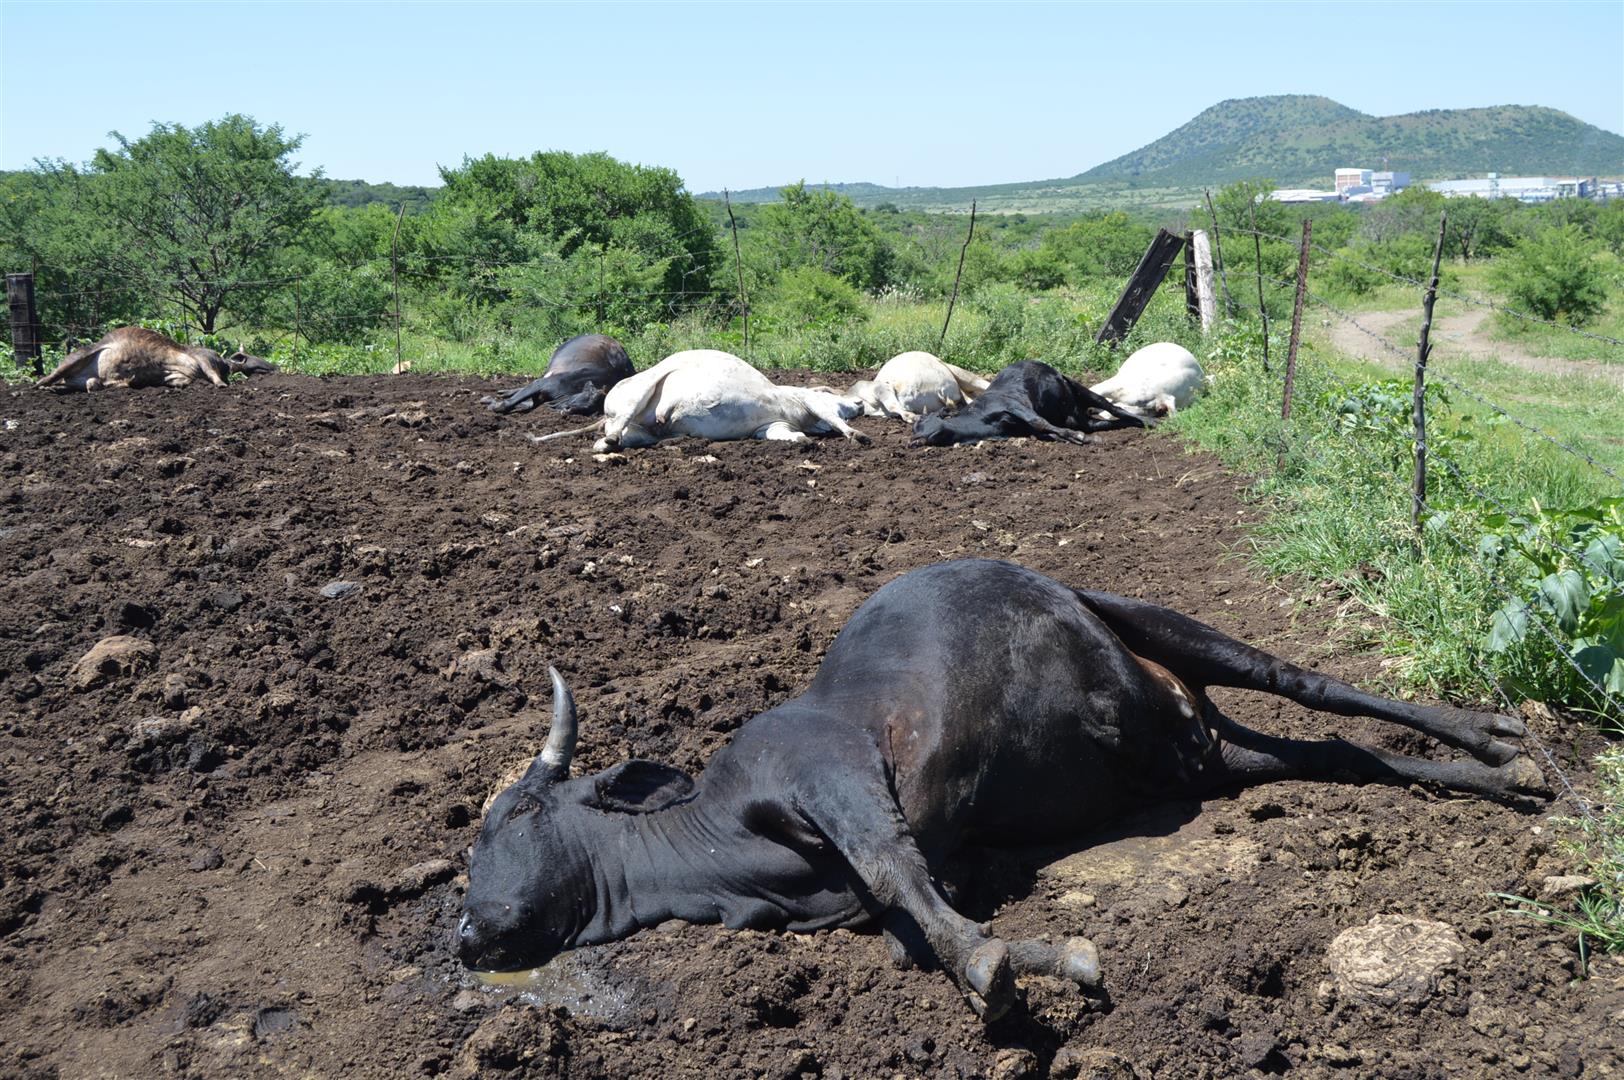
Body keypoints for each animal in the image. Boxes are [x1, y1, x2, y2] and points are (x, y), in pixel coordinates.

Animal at [37, 327, 276, 392]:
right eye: (254, 358)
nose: (274, 367)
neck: (225, 364)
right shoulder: (204, 359)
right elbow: (212, 375)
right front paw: (222, 384)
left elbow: (183, 380)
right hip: (75, 358)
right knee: (46, 379)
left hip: (77, 379)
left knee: (87, 383)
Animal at [458, 559, 1541, 1022]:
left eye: (514, 815)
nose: (466, 934)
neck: (727, 845)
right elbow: (911, 914)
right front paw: (1030, 957)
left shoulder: (828, 769)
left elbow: (900, 879)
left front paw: (1012, 964)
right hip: (1215, 757)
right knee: (1337, 755)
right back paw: (1487, 775)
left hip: (1150, 617)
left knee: (1304, 679)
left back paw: (1501, 738)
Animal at [481, 334, 635, 416]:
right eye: (588, 395)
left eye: (590, 409)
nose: (568, 410)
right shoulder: (543, 383)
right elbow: (510, 402)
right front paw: (494, 404)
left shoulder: (539, 397)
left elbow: (523, 403)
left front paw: (491, 401)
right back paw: (503, 391)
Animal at [536, 349, 869, 452]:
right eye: (836, 393)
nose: (861, 405)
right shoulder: (813, 403)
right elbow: (835, 419)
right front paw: (858, 435)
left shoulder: (771, 426)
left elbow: (785, 435)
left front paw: (802, 440)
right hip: (639, 391)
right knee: (614, 431)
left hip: (639, 432)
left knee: (610, 440)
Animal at [910, 360, 1145, 446]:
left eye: (926, 421)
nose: (913, 440)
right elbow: (1046, 432)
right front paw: (1077, 438)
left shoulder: (1014, 406)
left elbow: (1039, 422)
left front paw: (1079, 438)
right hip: (1081, 418)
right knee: (1104, 422)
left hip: (1077, 387)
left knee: (1111, 406)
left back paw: (1146, 422)